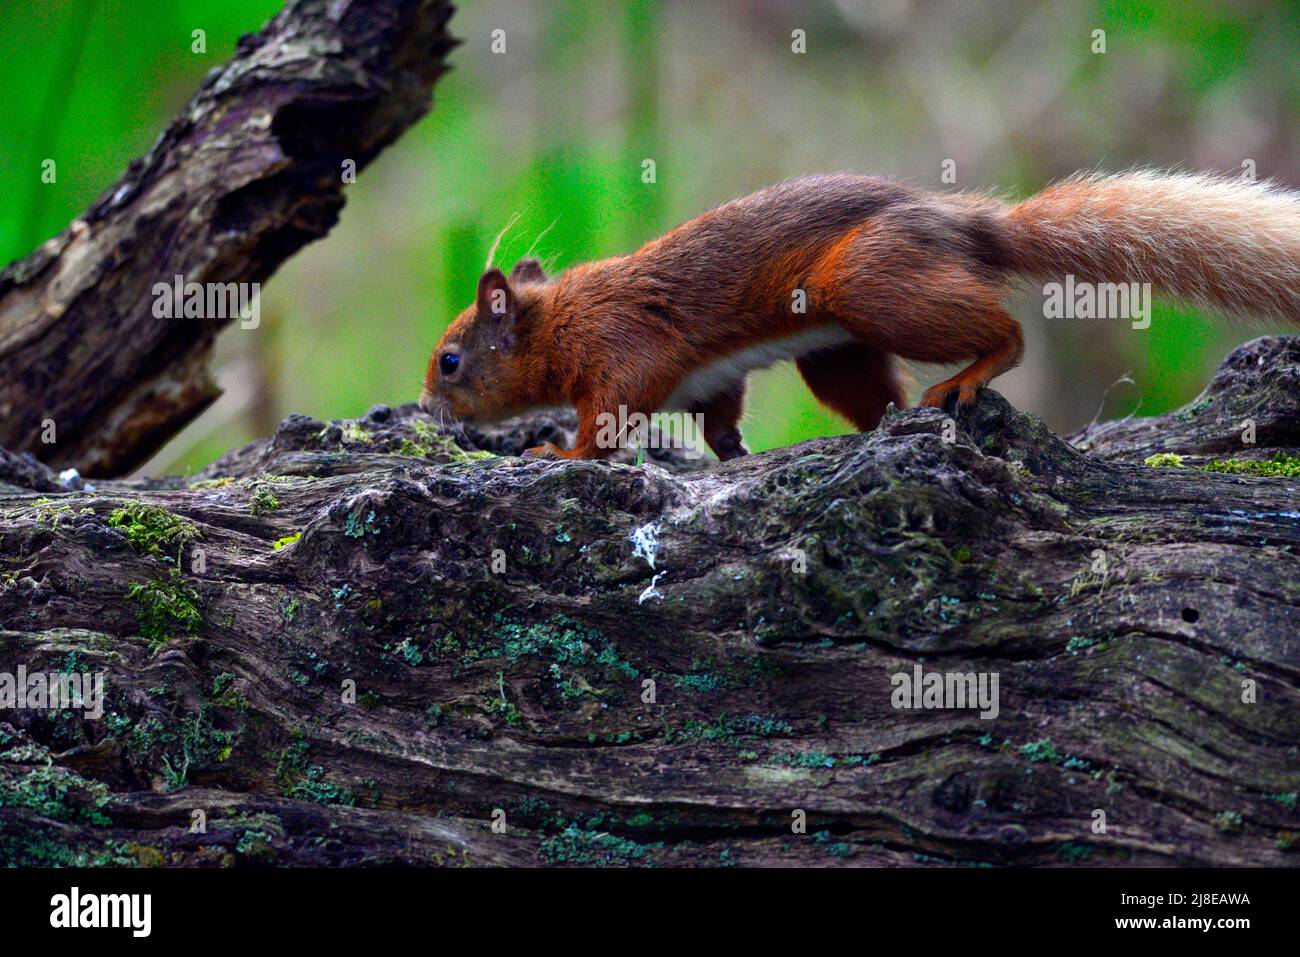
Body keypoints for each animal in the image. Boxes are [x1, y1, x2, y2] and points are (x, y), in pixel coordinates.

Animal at [420, 171, 1299, 461]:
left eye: (452, 359)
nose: (428, 406)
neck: (555, 320)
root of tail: (958, 225)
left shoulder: (622, 346)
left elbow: (607, 417)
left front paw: (557, 452)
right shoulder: (707, 380)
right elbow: (720, 416)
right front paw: (732, 454)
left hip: (868, 284)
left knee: (1007, 334)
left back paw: (970, 379)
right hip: (835, 351)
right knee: (880, 397)